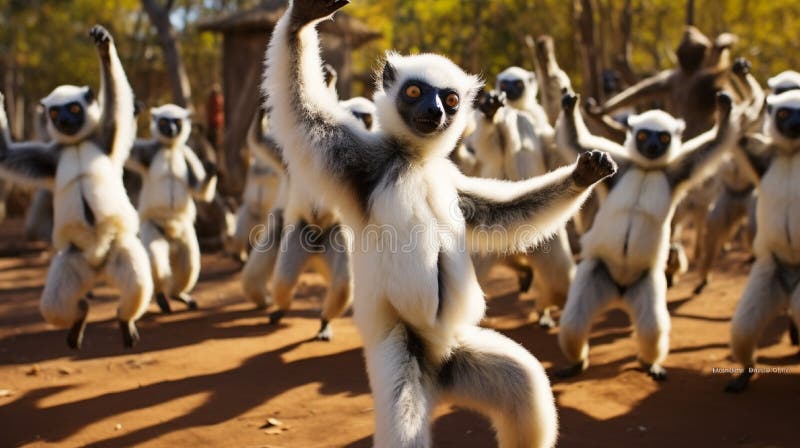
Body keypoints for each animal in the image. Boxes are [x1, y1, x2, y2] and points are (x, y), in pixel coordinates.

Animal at [0, 26, 150, 349]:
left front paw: (104, 48)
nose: (66, 122)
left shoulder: (102, 138)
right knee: (53, 306)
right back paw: (79, 315)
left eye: (73, 109)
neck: (78, 143)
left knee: (136, 284)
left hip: (116, 248)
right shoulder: (49, 158)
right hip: (73, 259)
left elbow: (117, 106)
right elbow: (4, 154)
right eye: (56, 114)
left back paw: (124, 319)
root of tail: (97, 266)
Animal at [126, 104, 217, 313]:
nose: (171, 130)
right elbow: (126, 149)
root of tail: (171, 234)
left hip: (185, 234)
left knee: (189, 264)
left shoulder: (187, 155)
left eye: (176, 122)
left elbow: (199, 190)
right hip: (153, 227)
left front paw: (211, 169)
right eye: (163, 122)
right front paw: (134, 112)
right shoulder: (149, 152)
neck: (169, 148)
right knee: (156, 259)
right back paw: (162, 295)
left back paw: (177, 294)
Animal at [468, 89, 575, 328]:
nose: (508, 90)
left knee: (559, 284)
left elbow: (553, 155)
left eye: (516, 84)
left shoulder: (537, 119)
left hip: (545, 239)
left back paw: (543, 307)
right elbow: (491, 148)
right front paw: (490, 112)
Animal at [554, 89, 739, 381]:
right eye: (643, 136)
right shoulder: (622, 167)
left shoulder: (676, 171)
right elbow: (576, 142)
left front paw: (725, 112)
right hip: (598, 271)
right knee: (574, 323)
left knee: (651, 327)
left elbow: (716, 143)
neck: (647, 168)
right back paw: (577, 362)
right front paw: (570, 108)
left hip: (644, 280)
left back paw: (648, 362)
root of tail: (619, 290)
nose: (652, 147)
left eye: (662, 138)